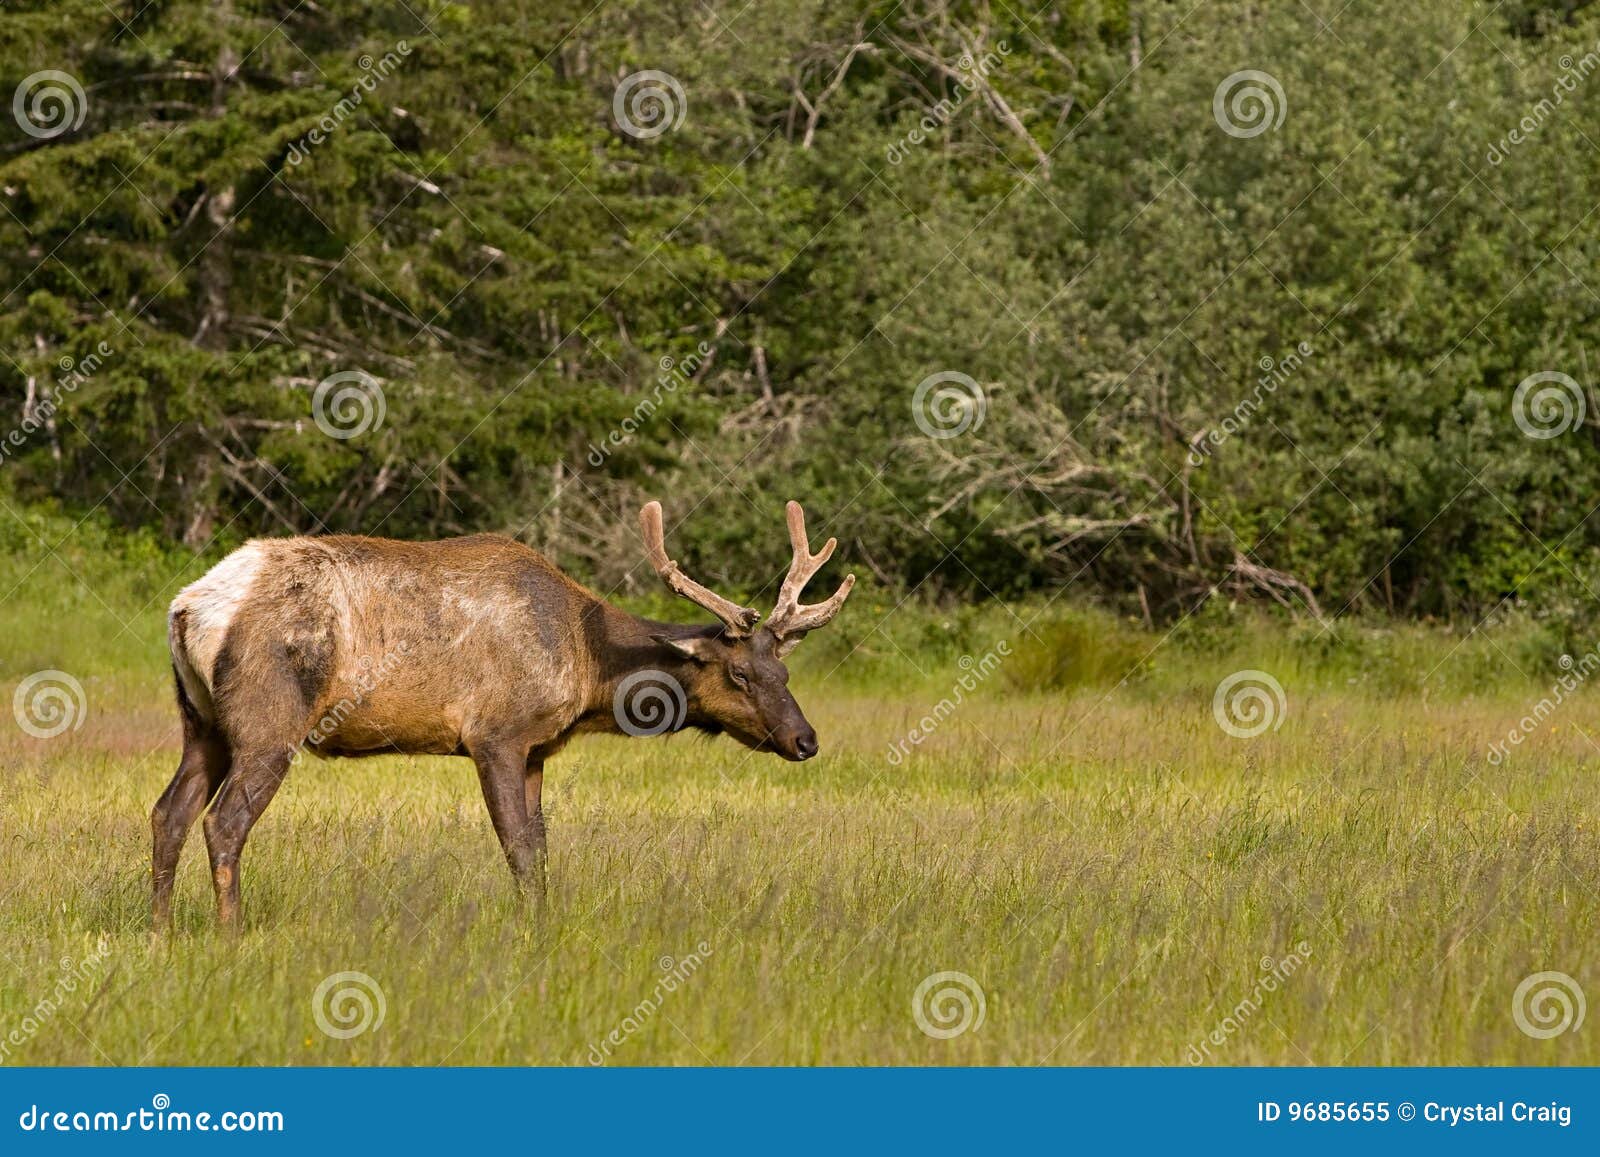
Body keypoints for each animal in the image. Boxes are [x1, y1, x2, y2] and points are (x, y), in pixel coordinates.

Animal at [151, 499, 854, 931]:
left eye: (784, 673)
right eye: (739, 674)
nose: (805, 739)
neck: (586, 663)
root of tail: (188, 606)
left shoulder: (537, 748)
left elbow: (539, 849)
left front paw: (541, 926)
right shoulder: (496, 734)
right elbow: (516, 845)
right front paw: (529, 935)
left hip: (202, 721)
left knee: (170, 812)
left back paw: (162, 933)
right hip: (270, 719)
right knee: (223, 822)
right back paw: (231, 937)